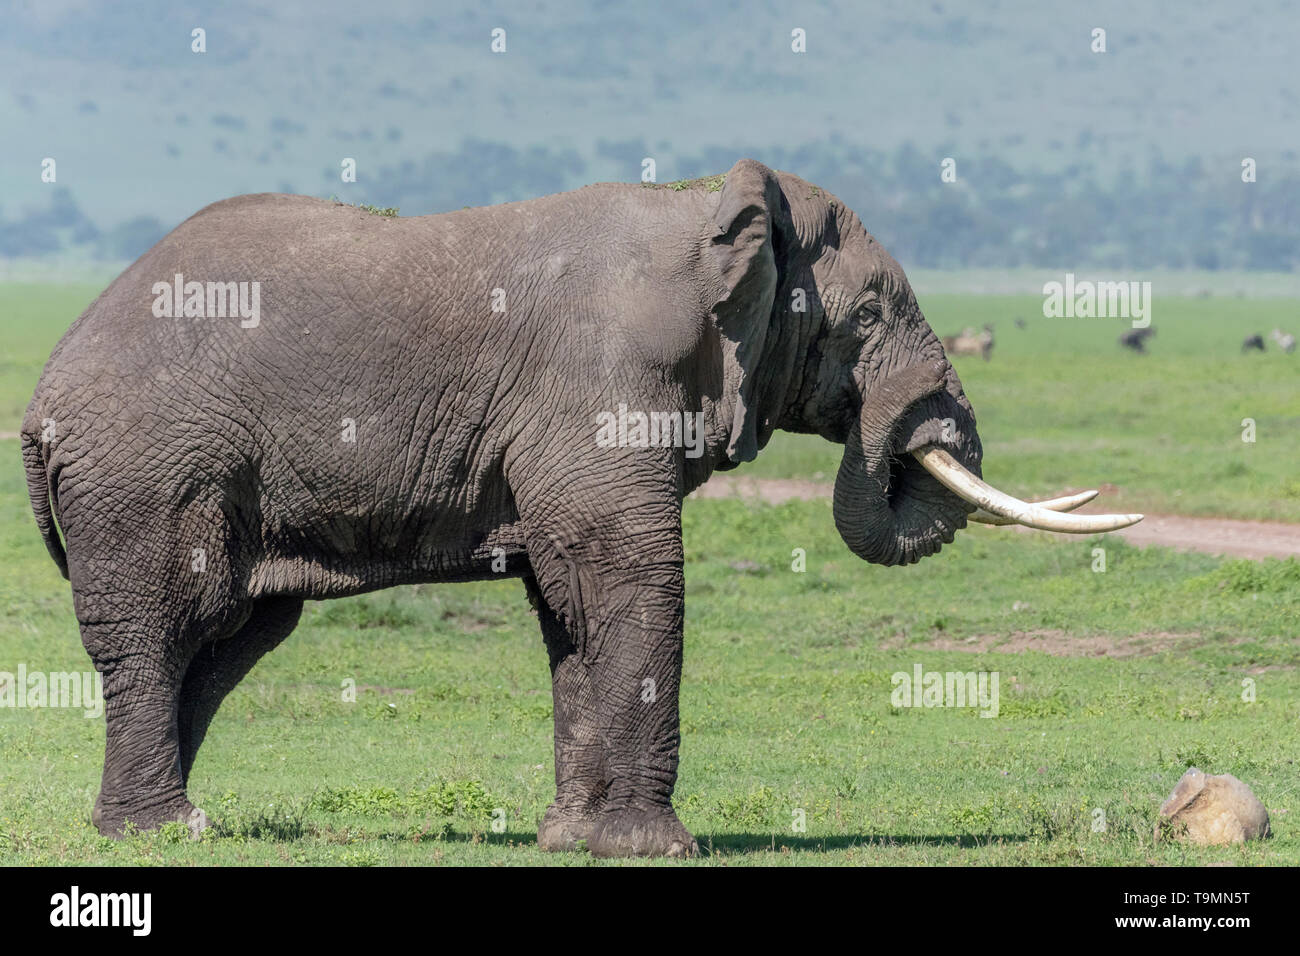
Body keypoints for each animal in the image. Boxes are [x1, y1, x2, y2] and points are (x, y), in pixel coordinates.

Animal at [22, 159, 1139, 857]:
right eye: (865, 316)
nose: (904, 433)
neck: (704, 216)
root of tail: (44, 392)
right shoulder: (596, 386)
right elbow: (628, 573)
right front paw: (656, 848)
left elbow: (569, 604)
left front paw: (572, 841)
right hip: (147, 474)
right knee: (164, 630)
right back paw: (167, 831)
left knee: (225, 640)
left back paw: (158, 825)